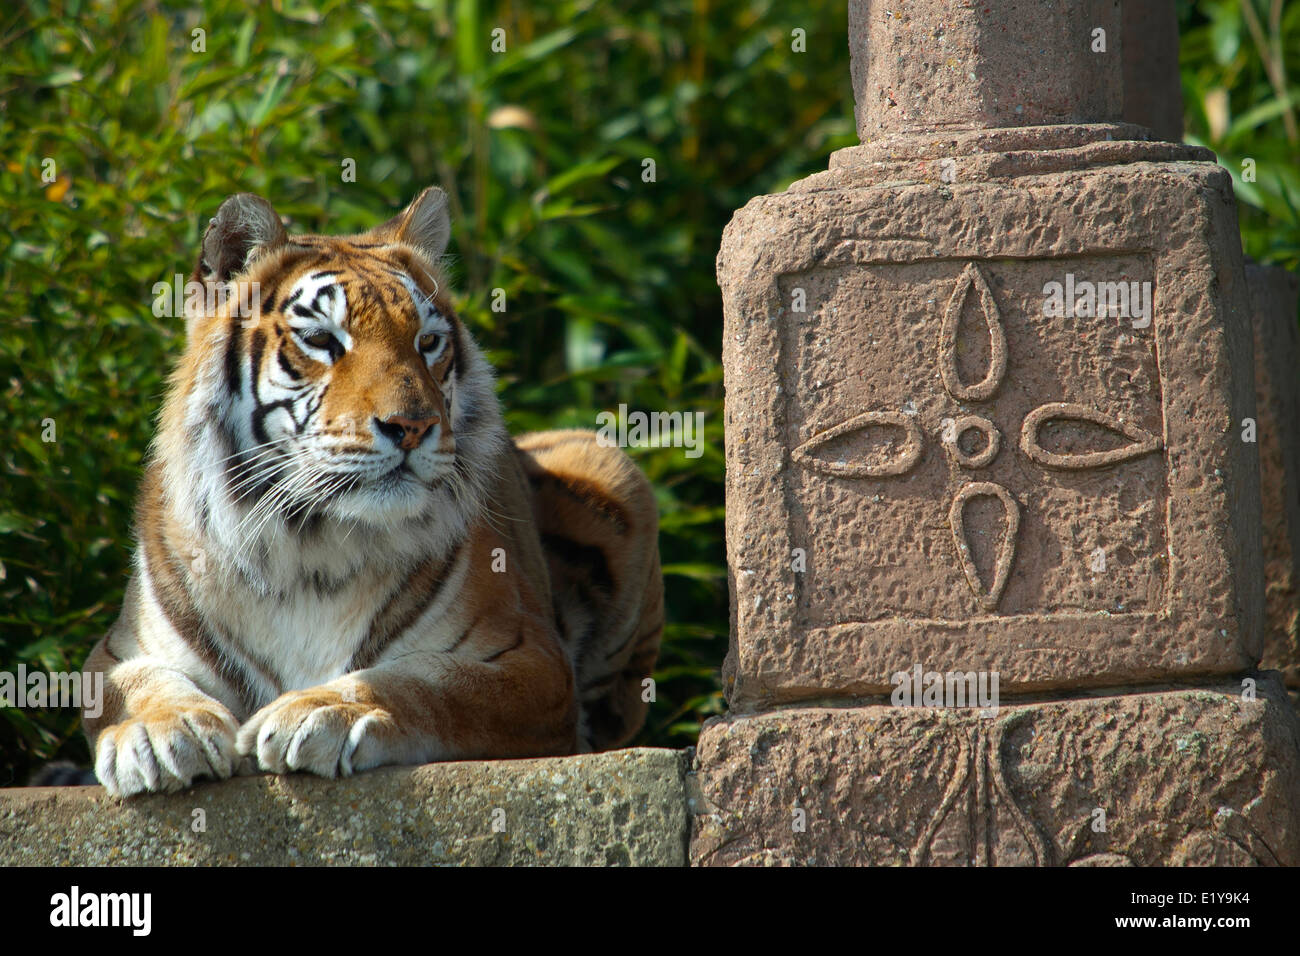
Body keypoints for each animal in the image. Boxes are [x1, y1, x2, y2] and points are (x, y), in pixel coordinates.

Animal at [82, 187, 664, 798]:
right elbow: (133, 685)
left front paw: (323, 710)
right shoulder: (116, 651)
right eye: (321, 340)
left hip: (610, 463)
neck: (309, 548)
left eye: (428, 342)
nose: (411, 425)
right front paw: (160, 730)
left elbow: (429, 682)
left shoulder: (532, 661)